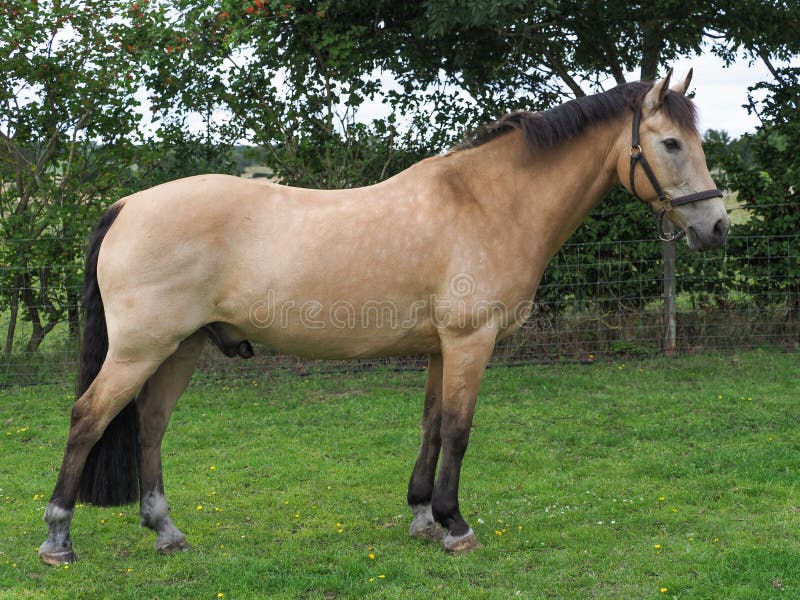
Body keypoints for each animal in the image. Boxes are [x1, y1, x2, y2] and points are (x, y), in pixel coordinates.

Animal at [39, 69, 729, 564]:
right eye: (670, 143)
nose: (716, 227)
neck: (486, 202)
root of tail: (128, 204)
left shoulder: (441, 348)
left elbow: (430, 427)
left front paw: (423, 516)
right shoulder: (471, 342)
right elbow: (458, 431)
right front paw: (455, 525)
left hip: (179, 348)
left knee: (149, 426)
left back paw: (166, 531)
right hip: (141, 349)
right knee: (87, 420)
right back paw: (58, 541)